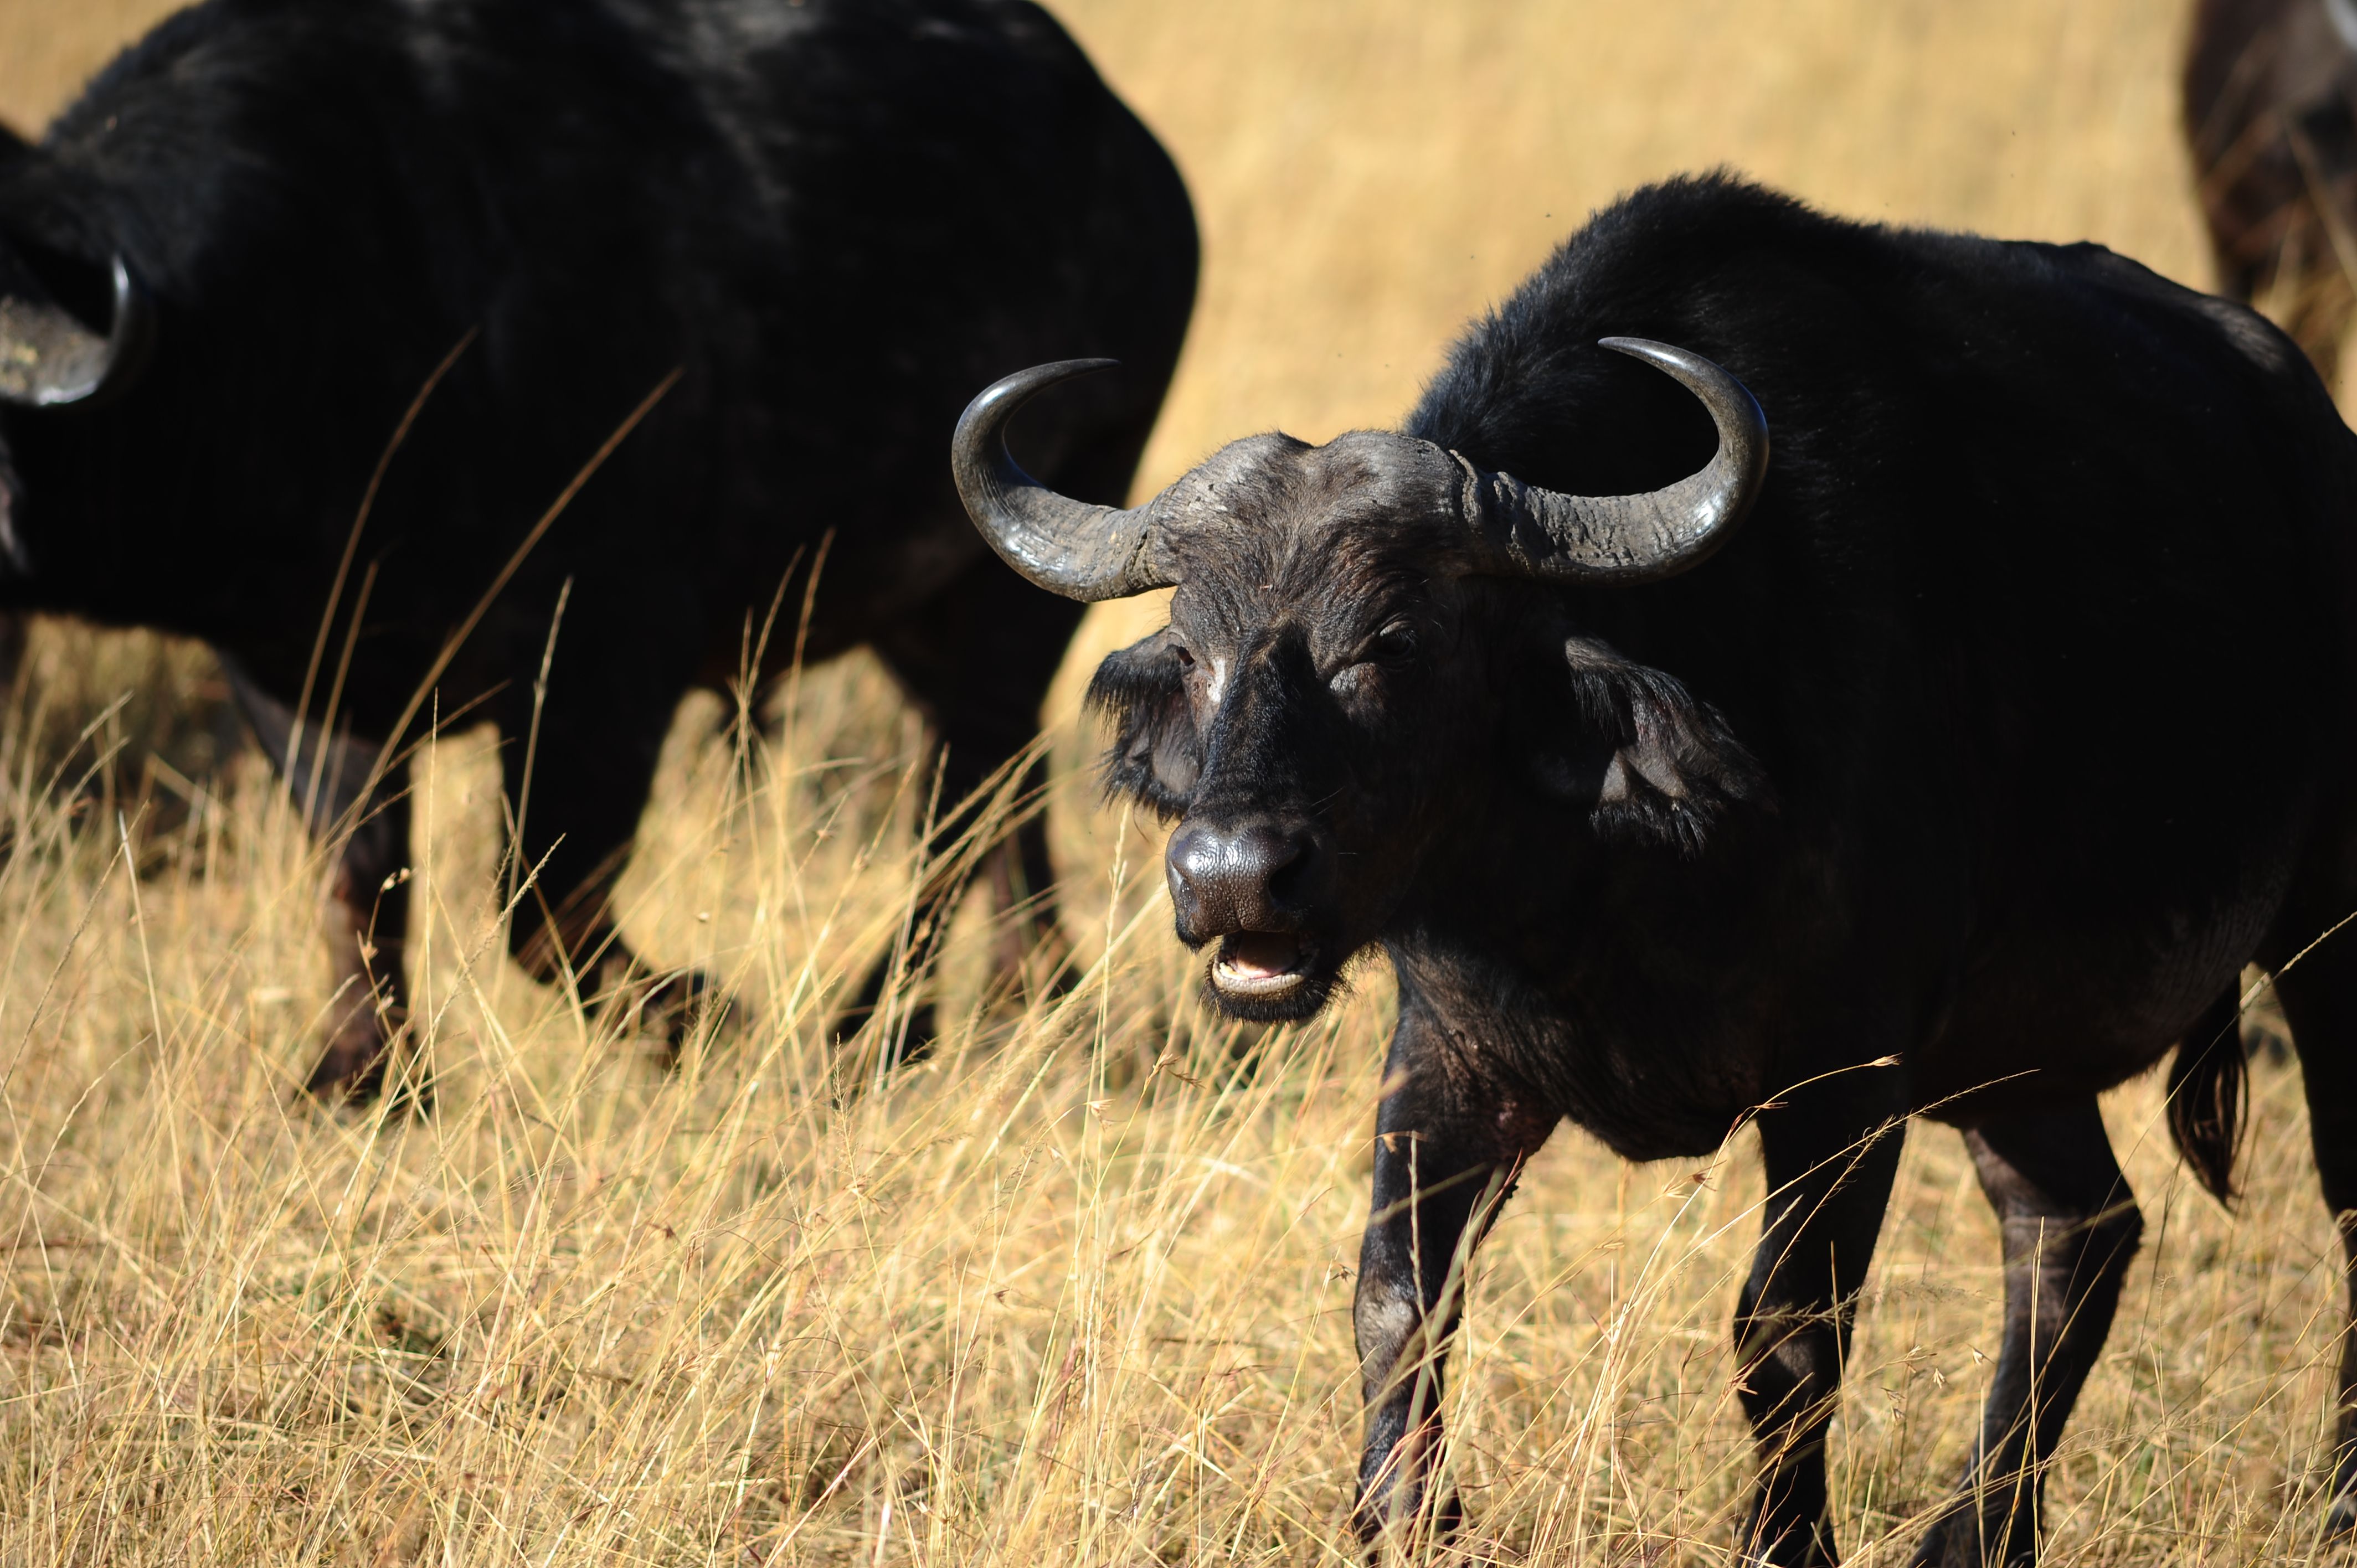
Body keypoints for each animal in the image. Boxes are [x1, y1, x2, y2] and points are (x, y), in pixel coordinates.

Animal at [0, 0, 1195, 1102]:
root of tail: (1142, 165)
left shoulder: (604, 668)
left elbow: (541, 906)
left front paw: (704, 1016)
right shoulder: (299, 678)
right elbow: (360, 876)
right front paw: (362, 1075)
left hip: (1024, 579)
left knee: (961, 795)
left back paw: (875, 1026)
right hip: (921, 613)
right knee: (1008, 785)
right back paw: (1029, 988)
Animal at [954, 175, 2357, 1564]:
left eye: (1391, 642)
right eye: (1192, 647)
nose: (1232, 875)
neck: (1603, 874)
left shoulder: (1844, 1079)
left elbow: (1785, 1334)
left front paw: (1784, 1543)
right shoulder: (1455, 1049)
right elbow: (1397, 1293)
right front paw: (1404, 1515)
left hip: (2319, 938)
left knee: (2329, 1204)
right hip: (2007, 1051)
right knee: (2078, 1224)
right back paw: (1977, 1534)